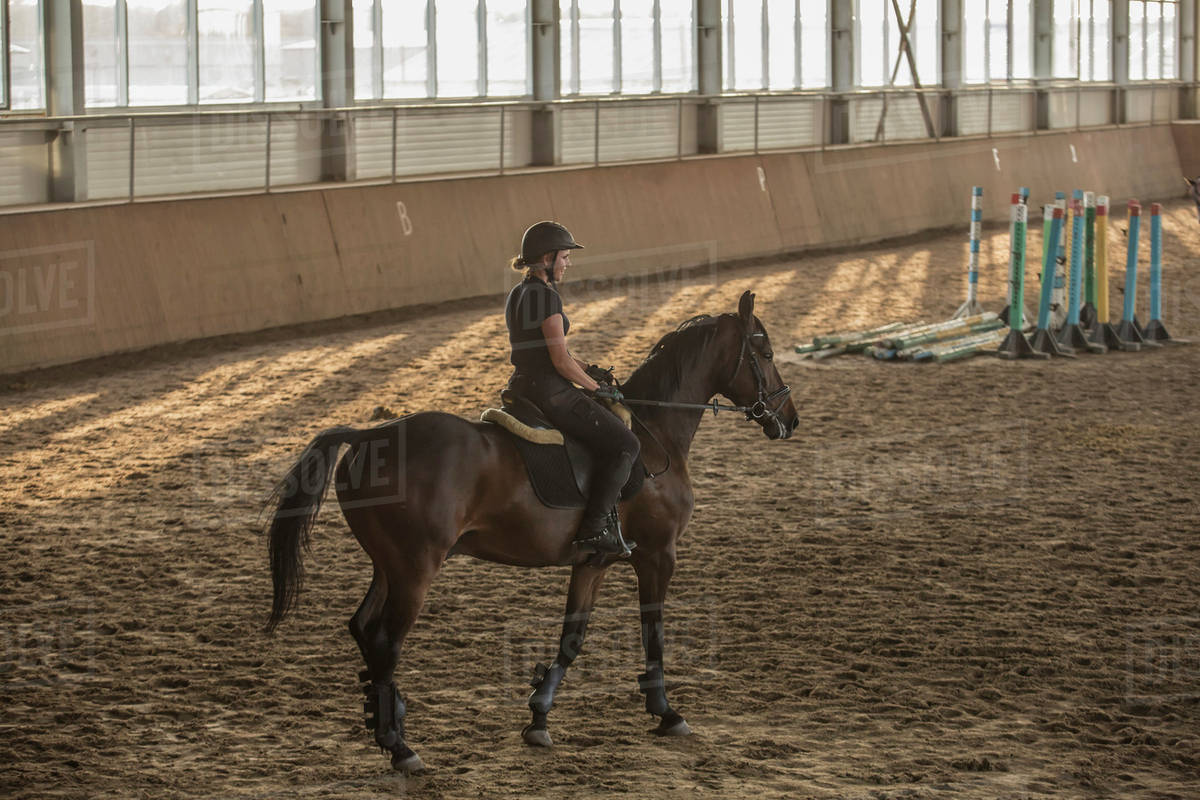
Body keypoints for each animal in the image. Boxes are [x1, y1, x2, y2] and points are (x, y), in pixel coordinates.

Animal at [263, 290, 799, 772]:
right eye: (766, 354)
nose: (789, 420)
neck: (655, 433)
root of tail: (370, 435)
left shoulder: (594, 560)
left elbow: (572, 637)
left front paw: (539, 718)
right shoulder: (657, 554)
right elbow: (655, 633)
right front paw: (666, 713)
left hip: (388, 564)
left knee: (362, 628)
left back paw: (385, 719)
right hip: (415, 568)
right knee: (386, 643)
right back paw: (400, 748)